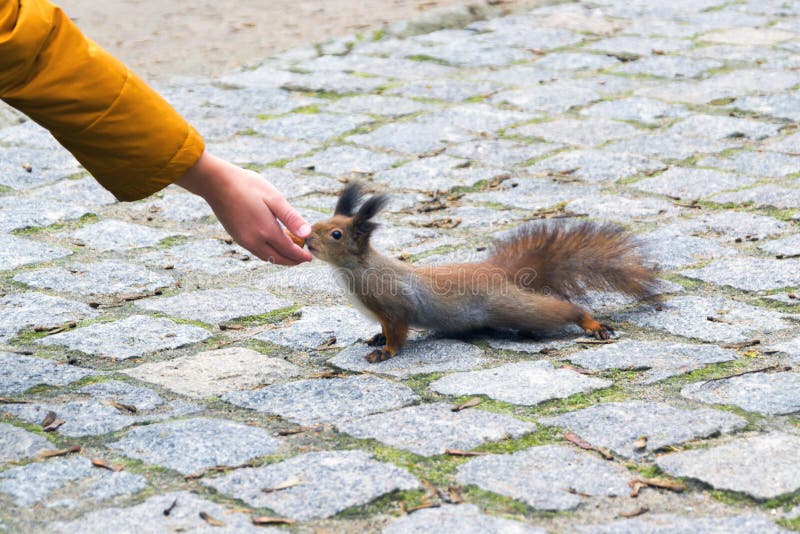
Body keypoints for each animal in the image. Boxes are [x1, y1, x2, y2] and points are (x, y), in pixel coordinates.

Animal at [298, 183, 658, 363]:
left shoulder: (395, 304)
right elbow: (384, 329)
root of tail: (496, 271)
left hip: (510, 306)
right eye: (321, 223)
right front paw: (377, 338)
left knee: (558, 310)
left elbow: (398, 331)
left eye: (336, 234)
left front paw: (386, 351)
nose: (306, 238)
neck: (358, 269)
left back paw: (590, 323)